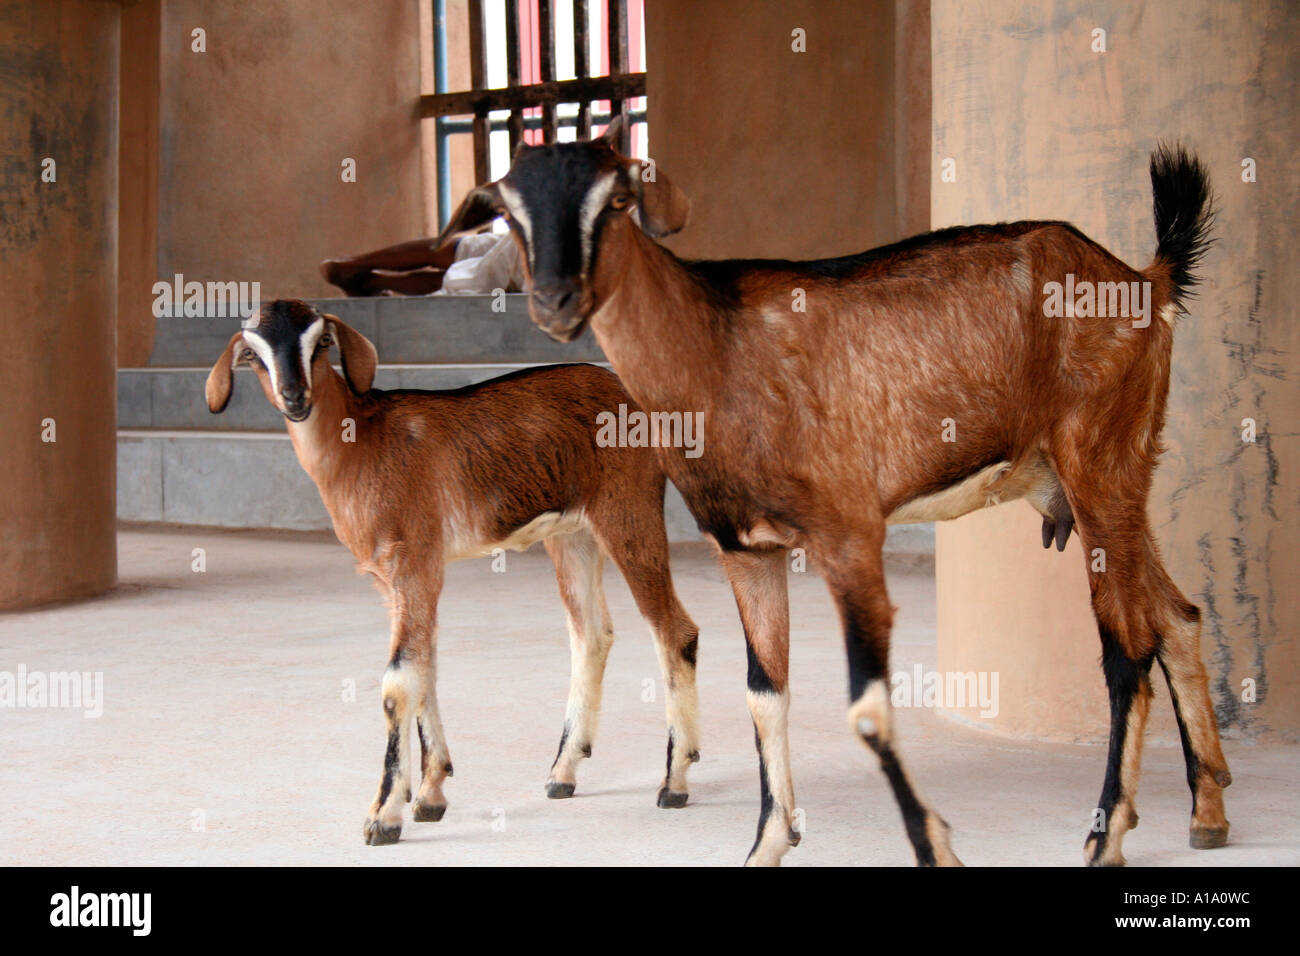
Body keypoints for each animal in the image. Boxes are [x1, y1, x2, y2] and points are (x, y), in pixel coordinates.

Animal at [204, 298, 701, 846]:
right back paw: (562, 773)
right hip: (573, 535)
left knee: (674, 630)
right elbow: (425, 670)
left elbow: (398, 683)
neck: (360, 443)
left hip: (627, 510)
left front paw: (384, 816)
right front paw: (429, 795)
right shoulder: (392, 581)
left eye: (322, 343)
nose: (295, 396)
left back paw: (675, 782)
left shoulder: (413, 563)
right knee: (591, 634)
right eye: (252, 354)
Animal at [435, 121, 1230, 867]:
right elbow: (765, 691)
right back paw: (1208, 812)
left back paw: (1107, 834)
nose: (555, 301)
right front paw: (766, 843)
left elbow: (868, 708)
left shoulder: (850, 538)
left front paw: (935, 846)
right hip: (1104, 481)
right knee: (1178, 616)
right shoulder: (746, 548)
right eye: (509, 211)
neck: (719, 349)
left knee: (1129, 646)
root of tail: (1146, 277)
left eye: (617, 201)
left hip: (1099, 466)